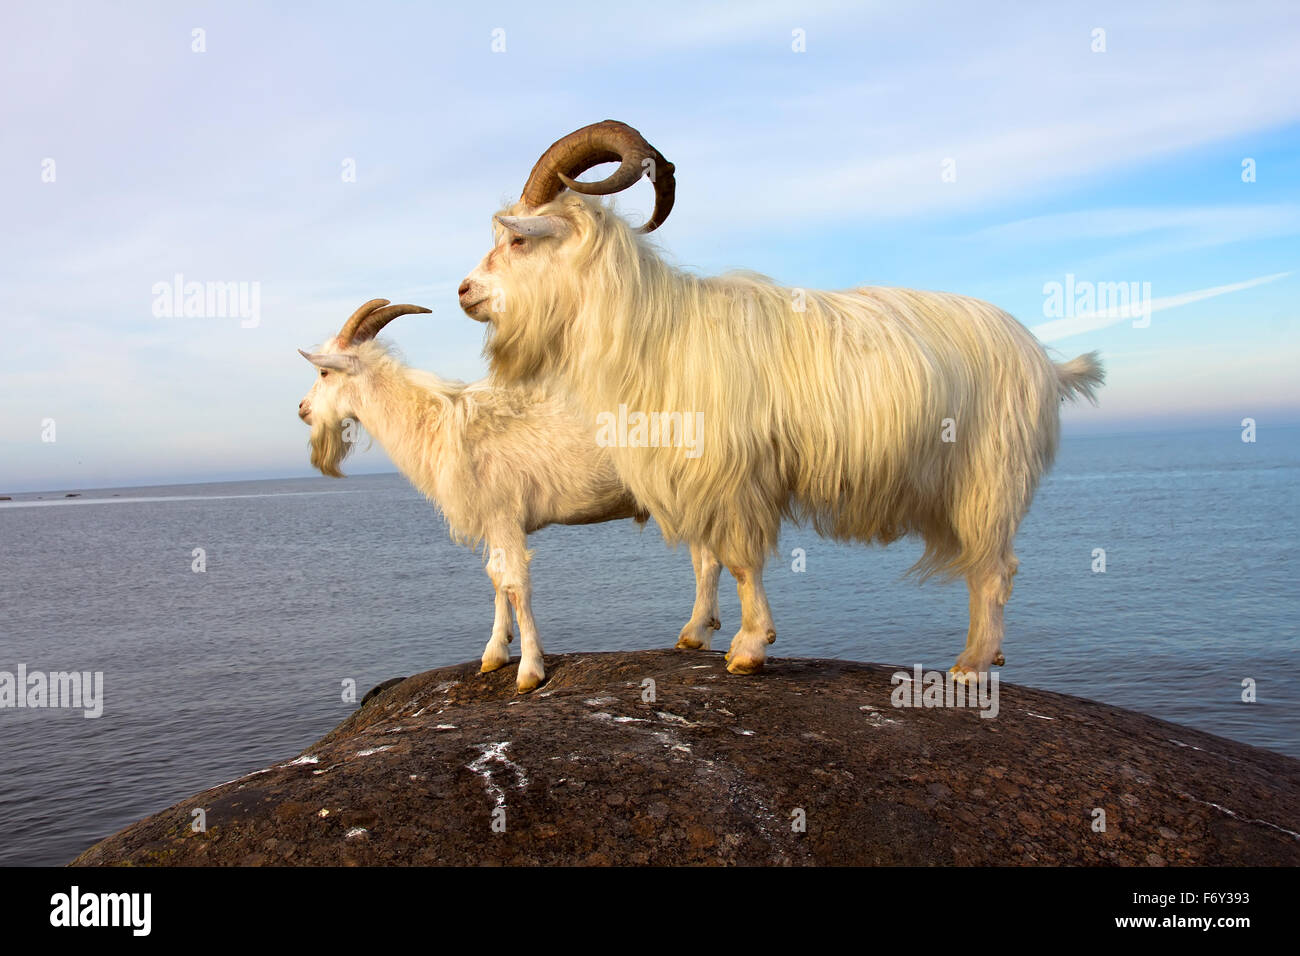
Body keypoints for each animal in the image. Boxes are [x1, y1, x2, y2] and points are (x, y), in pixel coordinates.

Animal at [297, 298, 723, 692]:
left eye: (323, 371)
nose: (302, 409)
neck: (440, 426)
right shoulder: (492, 522)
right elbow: (496, 578)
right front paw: (495, 652)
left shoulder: (504, 515)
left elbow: (516, 585)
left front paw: (530, 670)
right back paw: (704, 632)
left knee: (710, 559)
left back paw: (699, 634)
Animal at [458, 121, 1105, 681]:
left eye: (518, 238)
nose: (465, 291)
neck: (657, 329)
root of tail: (1045, 361)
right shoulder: (697, 474)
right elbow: (708, 557)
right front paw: (697, 633)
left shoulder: (735, 475)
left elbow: (741, 560)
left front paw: (750, 649)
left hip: (988, 476)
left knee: (993, 570)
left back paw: (971, 663)